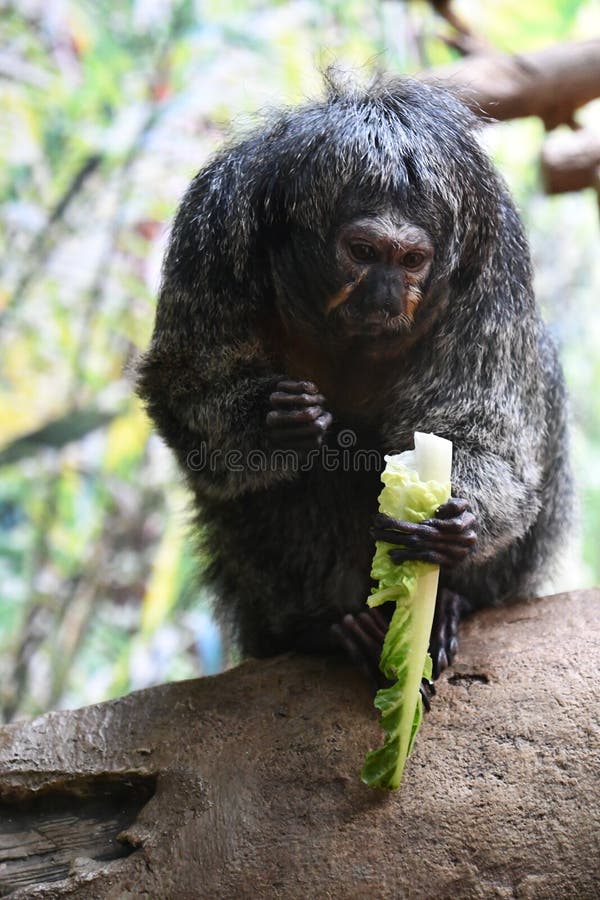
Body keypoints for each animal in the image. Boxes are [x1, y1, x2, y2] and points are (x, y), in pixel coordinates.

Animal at [136, 76, 573, 685]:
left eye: (411, 260)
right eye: (363, 252)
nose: (384, 295)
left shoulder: (496, 261)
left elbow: (491, 437)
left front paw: (452, 522)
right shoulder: (214, 227)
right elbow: (185, 389)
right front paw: (274, 421)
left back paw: (447, 607)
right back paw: (328, 627)